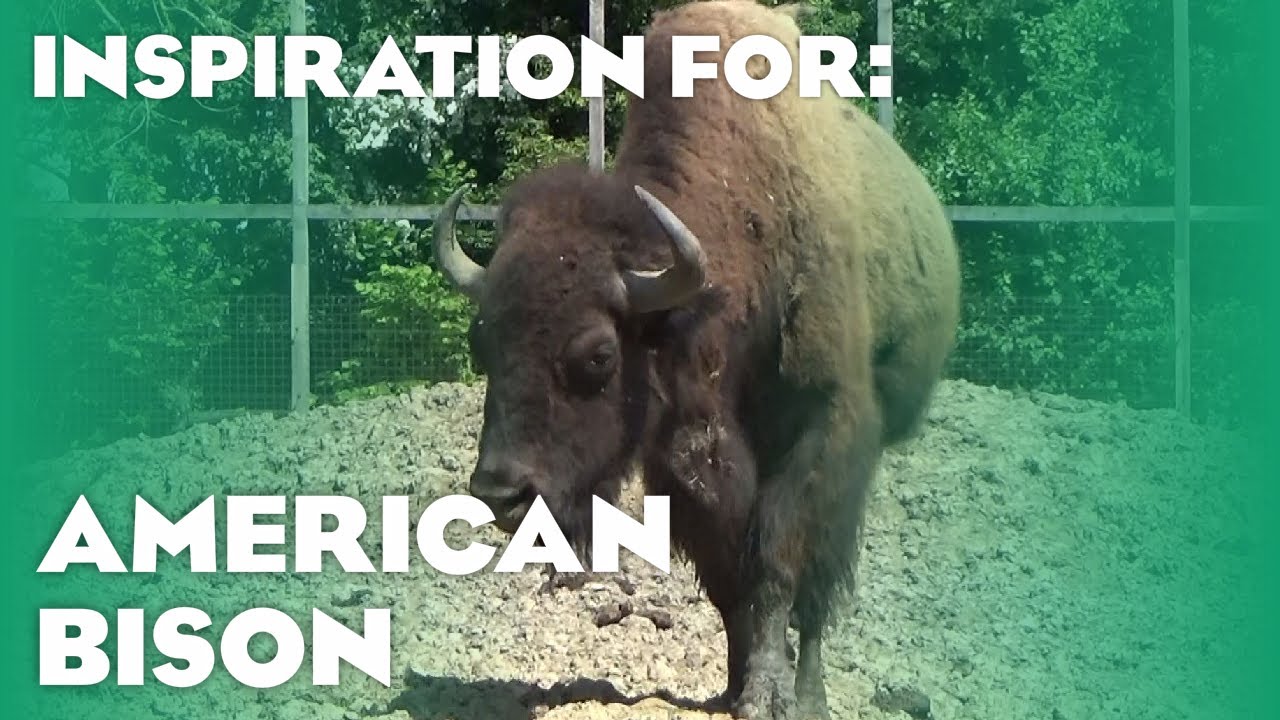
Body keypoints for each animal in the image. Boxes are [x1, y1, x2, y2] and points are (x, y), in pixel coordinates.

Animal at [430, 1, 960, 718]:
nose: (502, 493)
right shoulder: (687, 455)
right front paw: (735, 686)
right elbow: (728, 576)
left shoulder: (820, 430)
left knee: (819, 591)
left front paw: (766, 694)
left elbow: (778, 563)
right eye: (479, 341)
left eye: (599, 356)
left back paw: (809, 693)